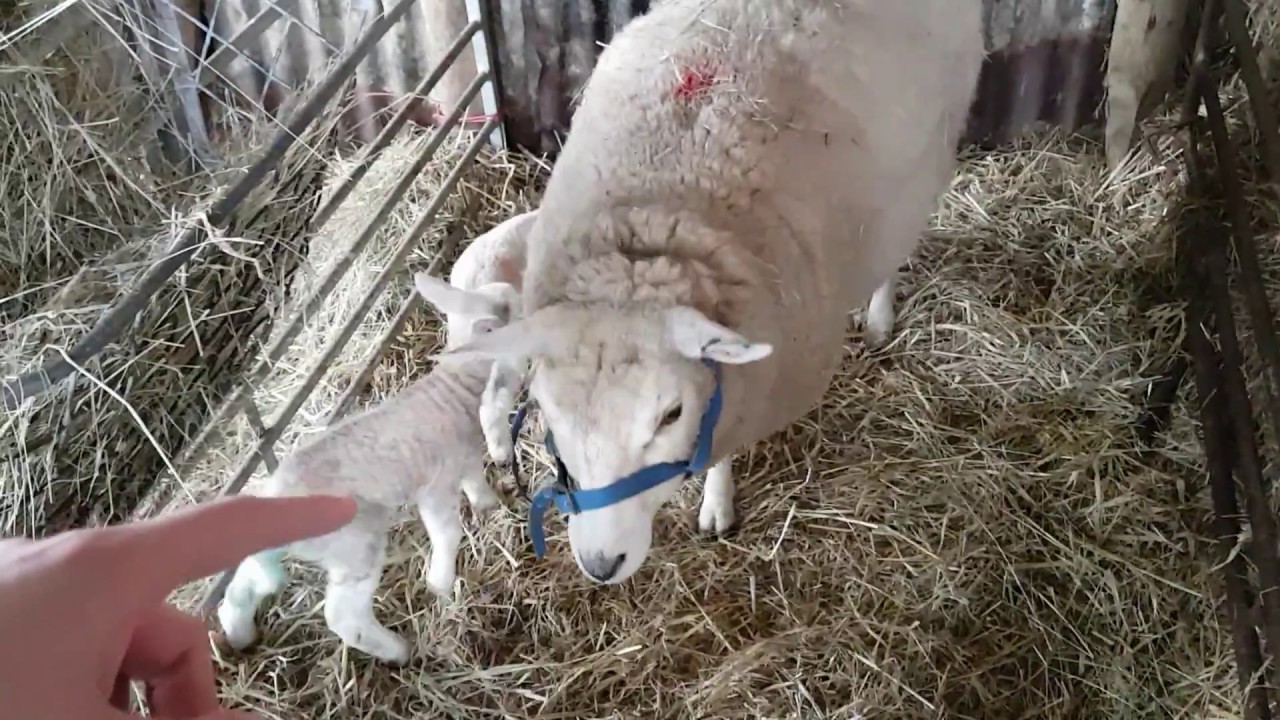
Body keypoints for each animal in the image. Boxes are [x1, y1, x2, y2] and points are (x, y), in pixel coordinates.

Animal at [215, 274, 518, 665]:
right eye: (510, 305)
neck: (453, 386)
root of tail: (277, 499)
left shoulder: (464, 455)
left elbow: (476, 482)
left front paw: (488, 506)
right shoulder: (436, 484)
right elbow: (447, 532)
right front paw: (440, 581)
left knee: (243, 588)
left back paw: (240, 636)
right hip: (356, 542)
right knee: (343, 615)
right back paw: (398, 651)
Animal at [434, 0, 987, 585]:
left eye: (671, 415)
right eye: (548, 409)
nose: (601, 563)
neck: (642, 239)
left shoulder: (750, 385)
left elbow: (719, 451)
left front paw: (716, 505)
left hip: (922, 175)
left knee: (892, 256)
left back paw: (880, 318)